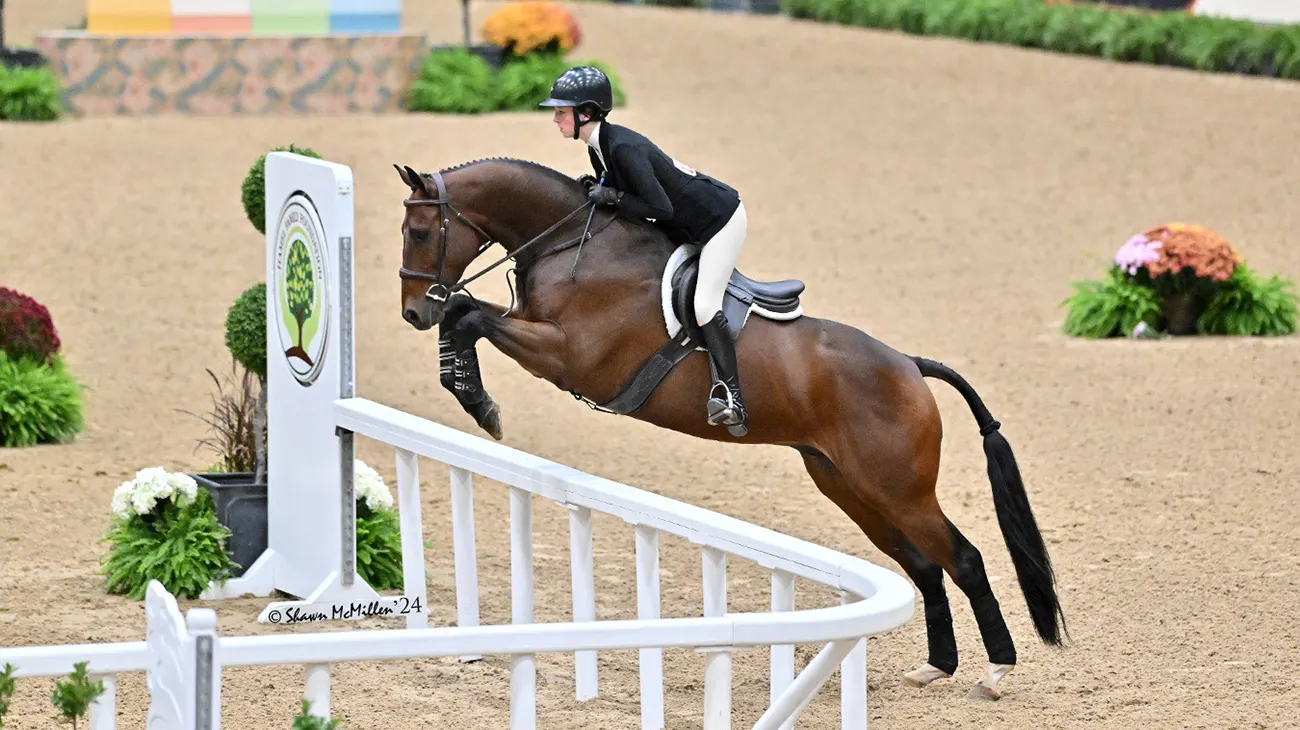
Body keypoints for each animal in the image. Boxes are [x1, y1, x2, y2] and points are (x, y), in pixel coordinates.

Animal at [392, 158, 1067, 700]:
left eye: (421, 232)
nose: (412, 313)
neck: (570, 246)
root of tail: (909, 365)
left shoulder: (568, 357)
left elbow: (468, 312)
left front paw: (478, 401)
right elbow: (466, 314)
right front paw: (466, 385)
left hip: (900, 490)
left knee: (965, 559)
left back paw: (996, 671)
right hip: (849, 486)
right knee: (926, 566)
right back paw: (937, 666)